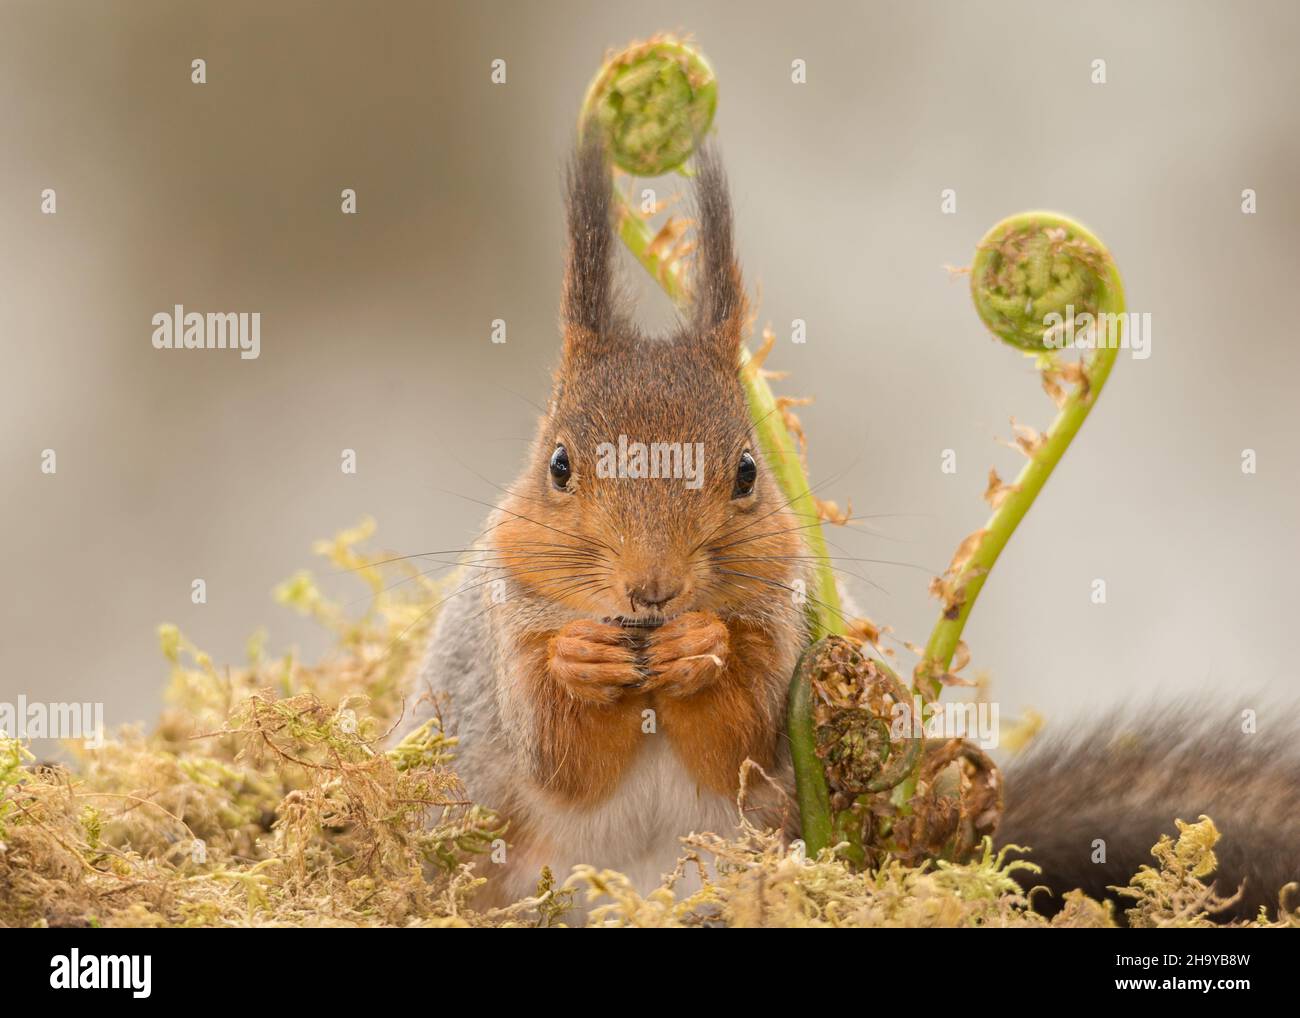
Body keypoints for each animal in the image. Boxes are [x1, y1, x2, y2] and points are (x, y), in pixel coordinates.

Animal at [399, 133, 1299, 918]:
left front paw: (704, 651)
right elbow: (557, 759)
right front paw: (582, 658)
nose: (653, 591)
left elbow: (737, 744)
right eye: (558, 465)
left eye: (747, 472)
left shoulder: (783, 628)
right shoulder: (506, 634)